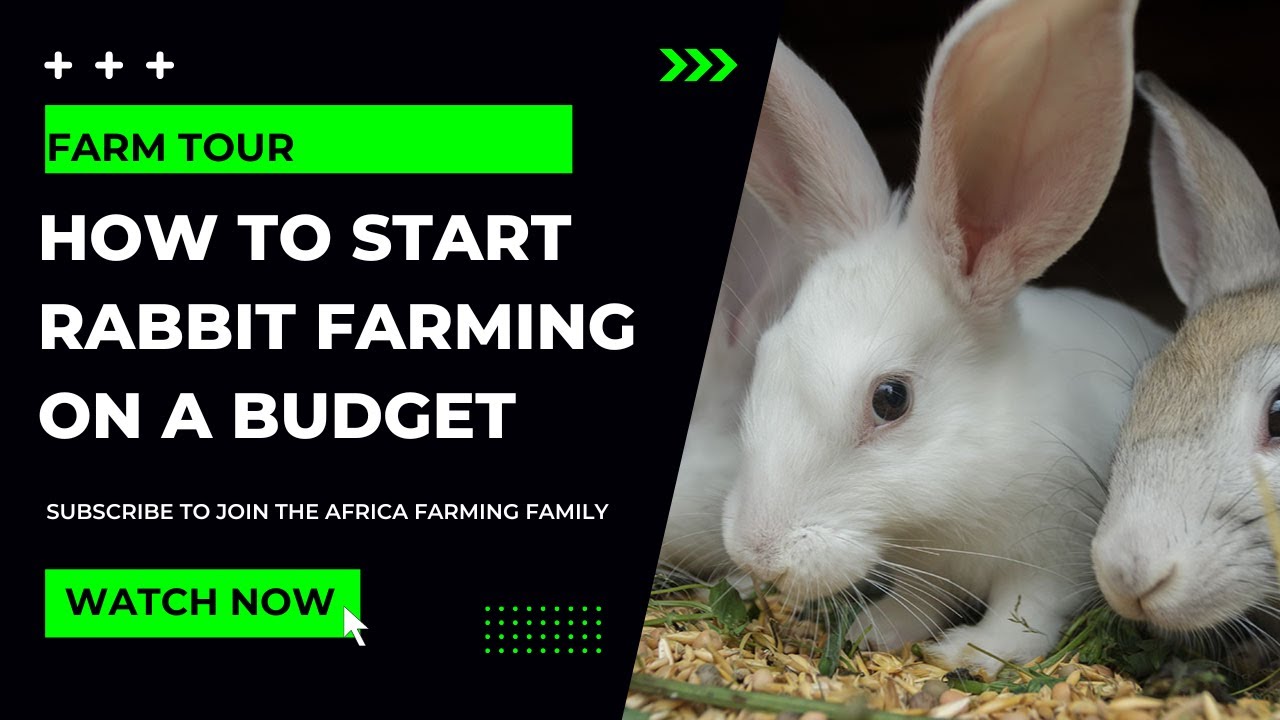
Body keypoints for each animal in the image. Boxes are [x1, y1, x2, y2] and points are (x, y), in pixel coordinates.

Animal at [719, 0, 1170, 673]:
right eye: (765, 360)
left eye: (891, 398)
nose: (757, 550)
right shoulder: (922, 565)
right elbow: (916, 602)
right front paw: (874, 631)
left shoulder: (1054, 554)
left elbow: (1026, 615)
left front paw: (970, 652)